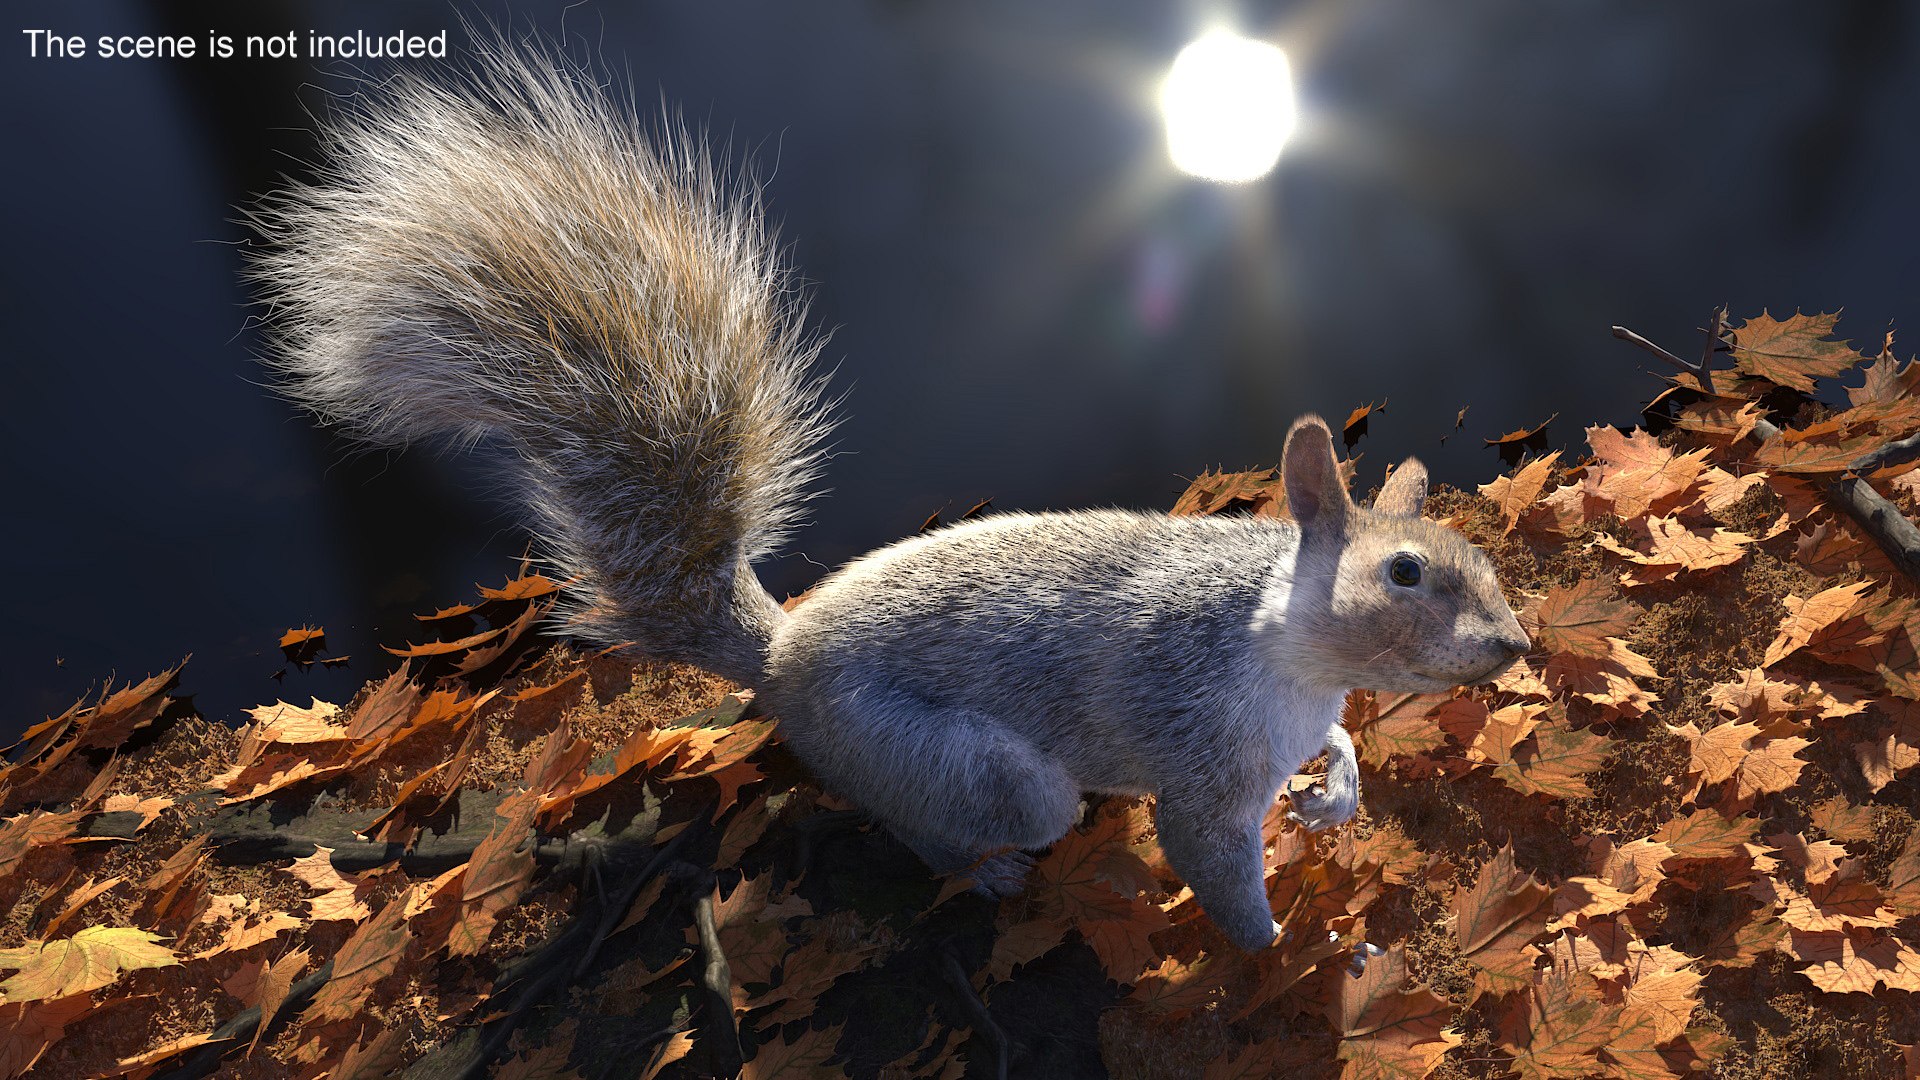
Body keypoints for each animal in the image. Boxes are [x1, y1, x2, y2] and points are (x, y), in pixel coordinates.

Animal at [252, 44, 1532, 953]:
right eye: (1402, 574)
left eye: (1469, 551)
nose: (1514, 647)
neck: (1285, 650)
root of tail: (778, 660)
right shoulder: (1200, 760)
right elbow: (1215, 873)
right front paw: (1292, 949)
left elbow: (1339, 749)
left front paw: (1336, 799)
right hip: (962, 765)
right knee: (944, 828)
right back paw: (996, 866)